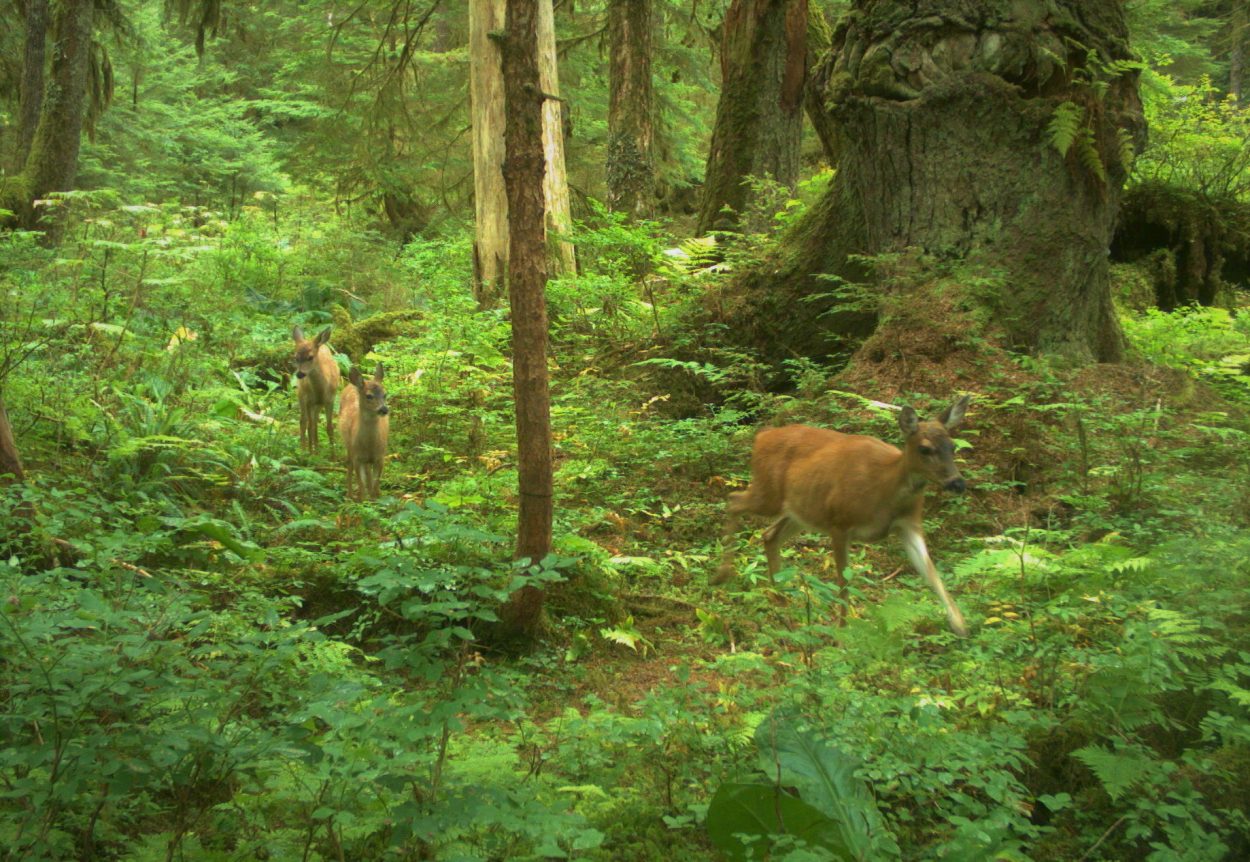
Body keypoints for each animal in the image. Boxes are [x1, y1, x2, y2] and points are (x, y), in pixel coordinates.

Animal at [339, 363, 390, 500]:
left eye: (385, 394)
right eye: (369, 396)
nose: (384, 409)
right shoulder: (357, 457)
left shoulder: (381, 456)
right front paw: (361, 500)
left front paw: (375, 498)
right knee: (349, 465)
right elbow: (361, 486)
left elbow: (376, 483)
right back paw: (349, 495)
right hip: (348, 445)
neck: (370, 445)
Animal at [715, 396, 972, 637]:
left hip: (801, 509)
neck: (885, 487)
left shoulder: (910, 524)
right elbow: (843, 583)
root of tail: (761, 436)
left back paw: (781, 599)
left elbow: (930, 570)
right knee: (734, 500)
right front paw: (841, 633)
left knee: (769, 534)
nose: (957, 483)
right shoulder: (839, 522)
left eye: (953, 446)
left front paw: (959, 623)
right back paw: (723, 575)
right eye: (925, 448)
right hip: (769, 494)